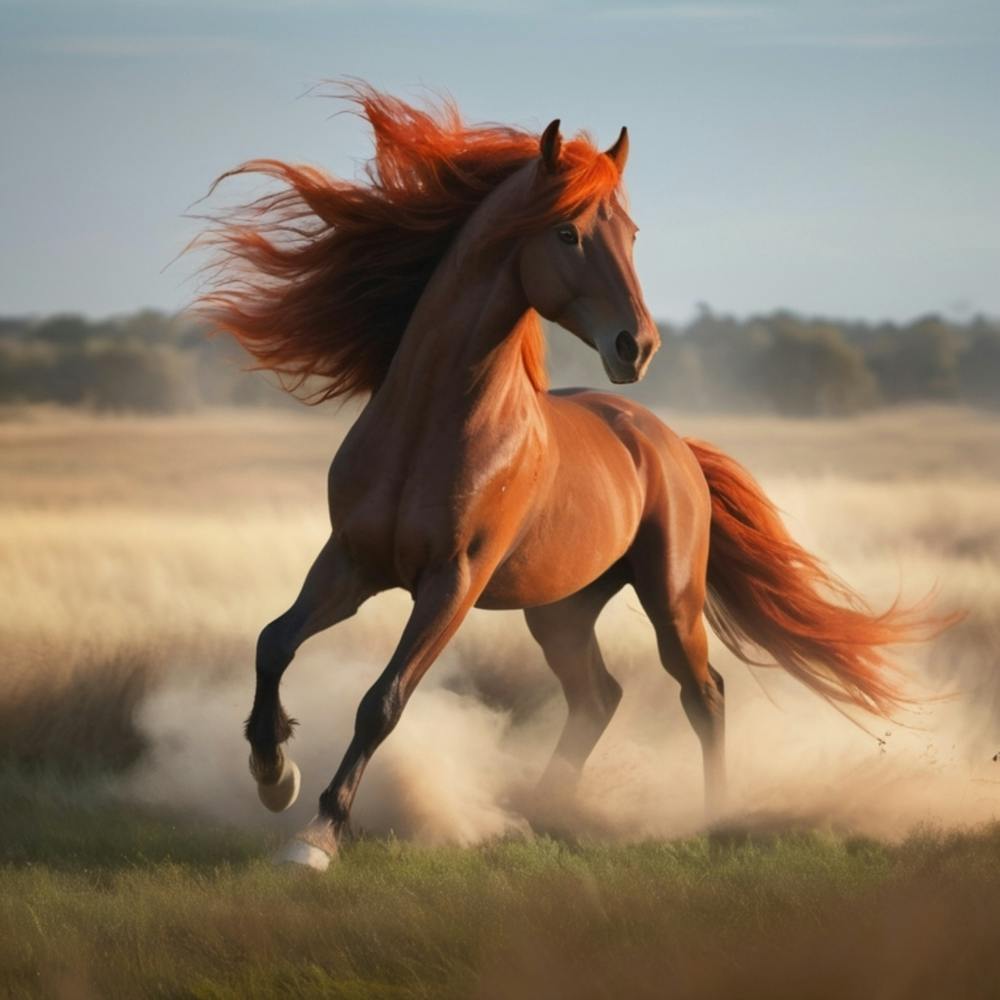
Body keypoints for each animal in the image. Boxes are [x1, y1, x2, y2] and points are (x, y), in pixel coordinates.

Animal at [198, 86, 930, 870]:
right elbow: (274, 642)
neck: (430, 427)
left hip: (671, 598)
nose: (637, 346)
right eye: (568, 233)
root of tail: (666, 441)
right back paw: (536, 810)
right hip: (562, 610)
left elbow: (382, 701)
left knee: (703, 693)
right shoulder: (352, 562)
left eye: (632, 234)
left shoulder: (452, 583)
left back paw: (711, 818)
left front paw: (317, 834)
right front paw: (274, 773)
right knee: (597, 696)